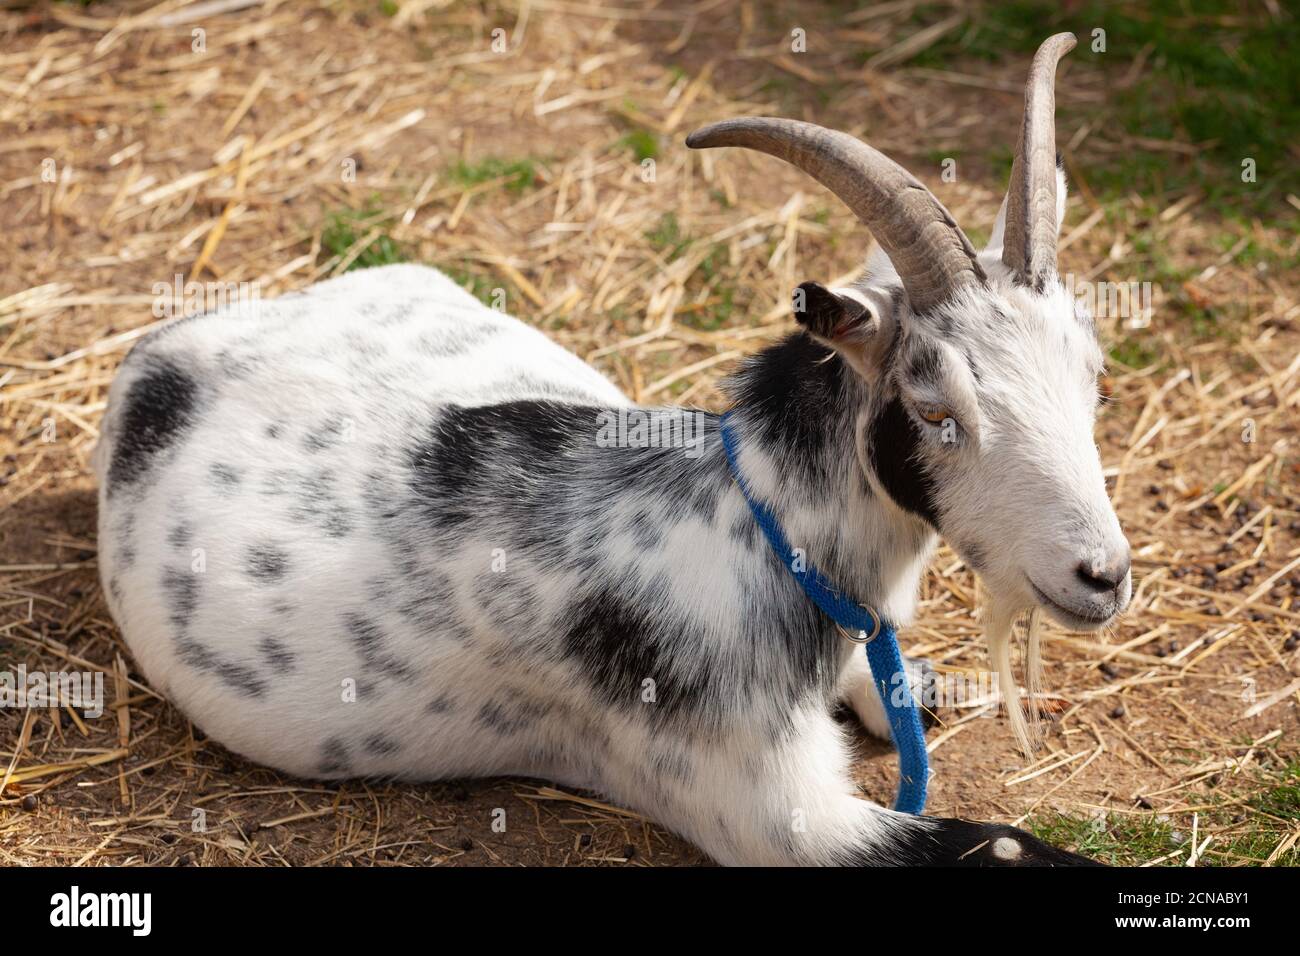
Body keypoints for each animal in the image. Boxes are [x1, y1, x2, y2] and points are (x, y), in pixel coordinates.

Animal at [94, 33, 1128, 865]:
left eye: (1094, 374)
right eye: (935, 406)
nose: (1104, 576)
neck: (761, 526)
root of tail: (177, 340)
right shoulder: (780, 814)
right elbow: (1002, 847)